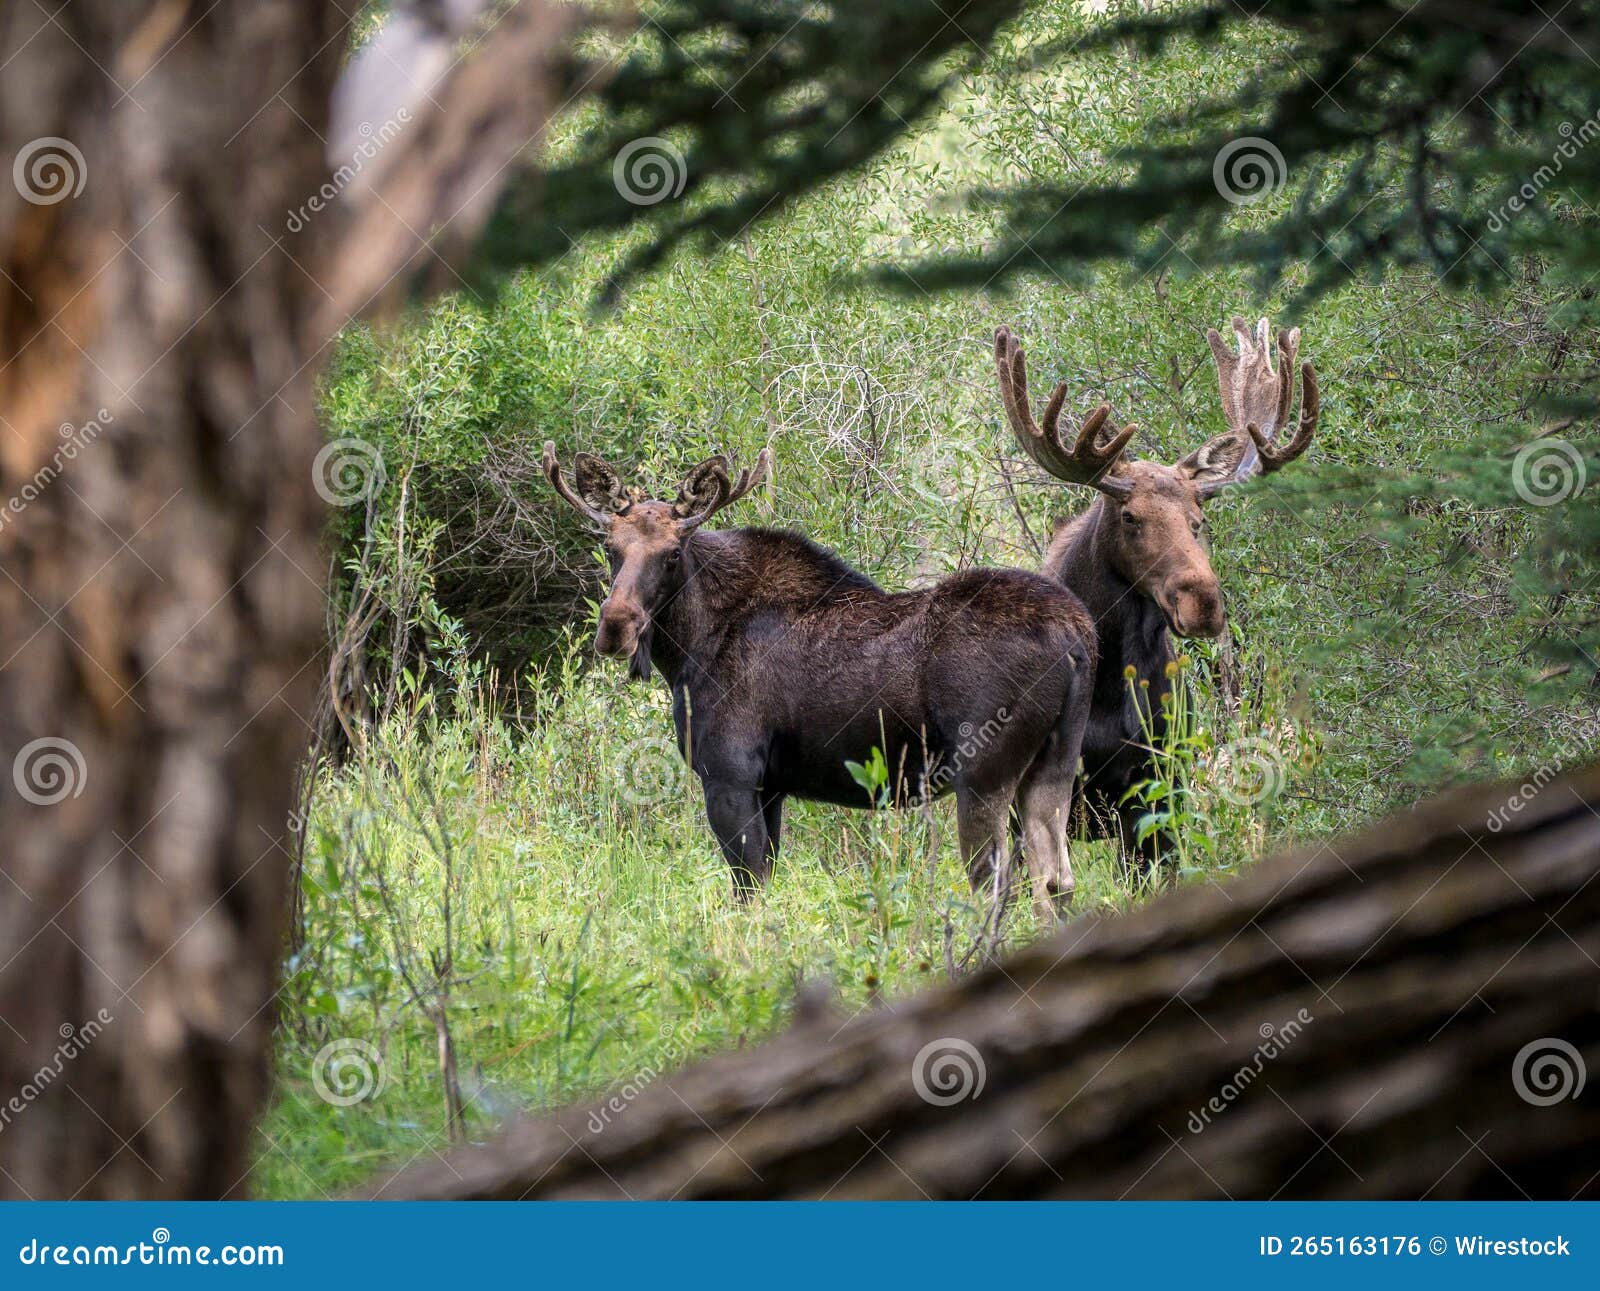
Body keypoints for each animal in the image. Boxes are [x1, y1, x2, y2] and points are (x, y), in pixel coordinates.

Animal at [542, 441, 1098, 923]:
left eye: (673, 553)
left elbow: (748, 887)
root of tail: (1077, 639)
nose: (616, 626)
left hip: (983, 774)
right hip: (1053, 766)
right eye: (610, 547)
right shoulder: (771, 786)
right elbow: (763, 880)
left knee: (996, 886)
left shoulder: (728, 774)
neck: (688, 650)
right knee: (1057, 882)